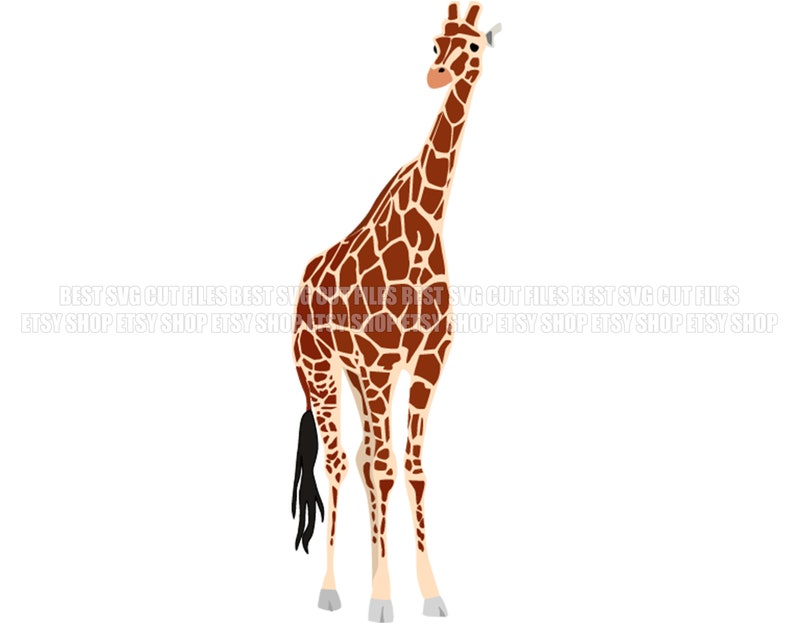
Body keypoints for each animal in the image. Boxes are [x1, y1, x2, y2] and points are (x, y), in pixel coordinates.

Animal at [290, 3, 500, 621]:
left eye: (474, 46)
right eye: (434, 42)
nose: (437, 76)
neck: (429, 222)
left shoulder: (426, 362)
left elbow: (412, 469)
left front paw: (429, 592)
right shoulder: (383, 364)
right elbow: (384, 468)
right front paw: (382, 598)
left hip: (358, 377)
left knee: (362, 460)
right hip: (319, 371)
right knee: (338, 462)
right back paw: (333, 589)